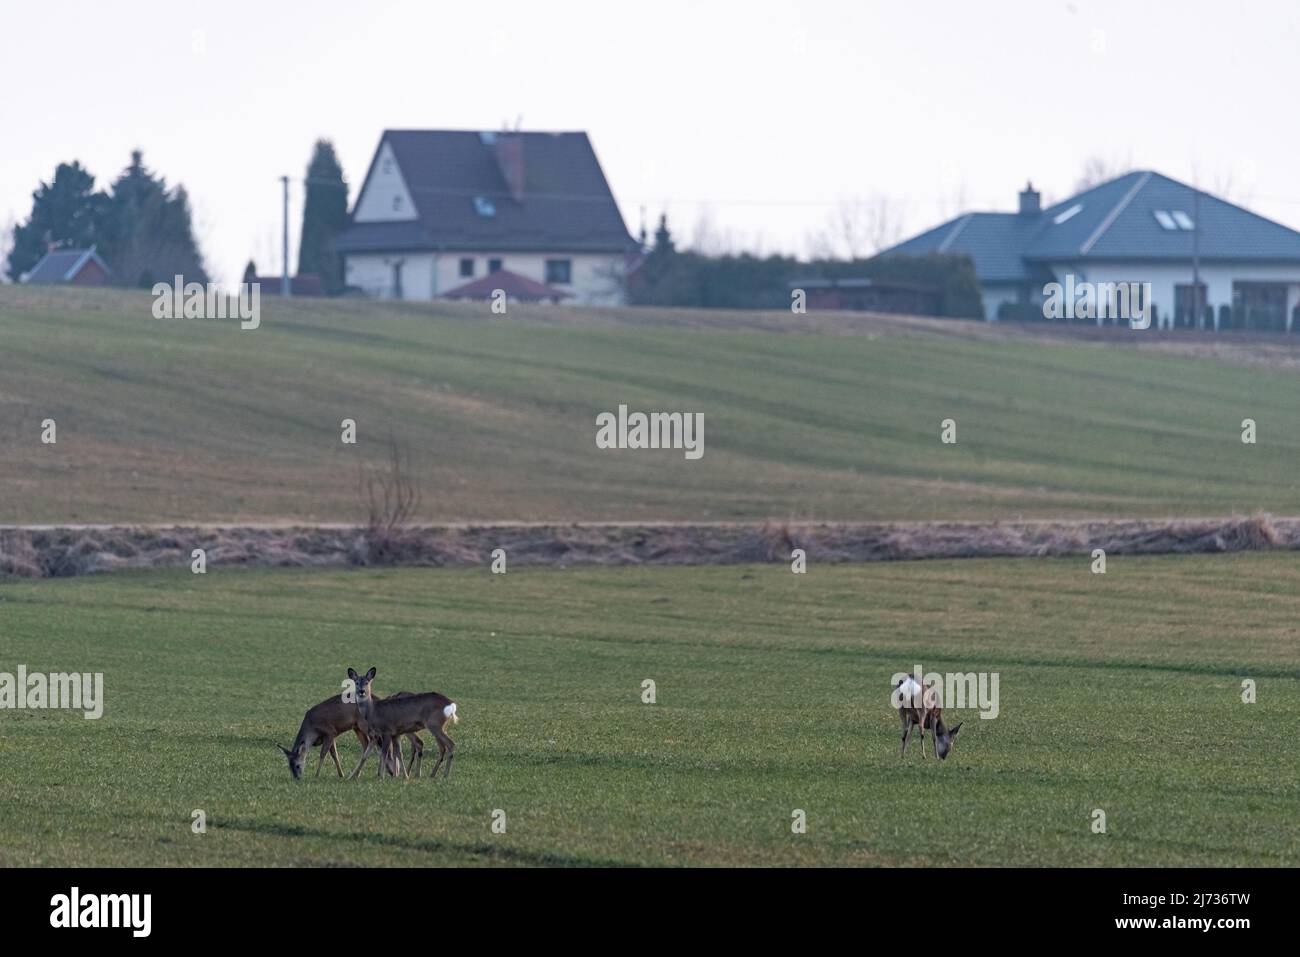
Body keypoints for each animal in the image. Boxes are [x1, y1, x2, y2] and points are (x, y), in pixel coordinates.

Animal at [277, 690, 426, 780]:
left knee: (377, 743)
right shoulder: (332, 735)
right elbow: (334, 754)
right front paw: (341, 774)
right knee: (369, 745)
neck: (312, 730)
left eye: (297, 765)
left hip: (364, 725)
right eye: (289, 766)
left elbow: (323, 754)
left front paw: (317, 775)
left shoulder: (330, 731)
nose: (297, 778)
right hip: (357, 728)